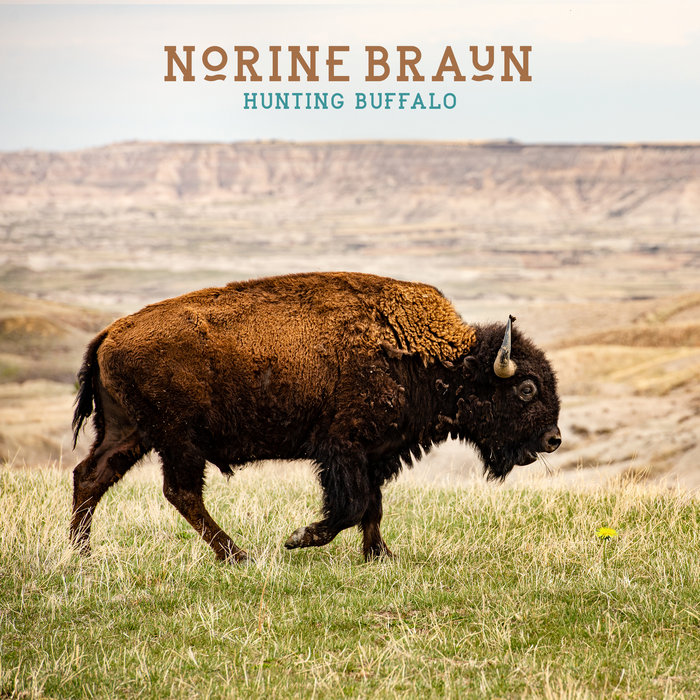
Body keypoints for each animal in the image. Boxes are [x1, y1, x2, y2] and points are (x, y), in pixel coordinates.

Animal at [71, 272, 561, 563]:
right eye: (527, 388)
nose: (553, 439)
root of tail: (110, 333)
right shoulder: (343, 448)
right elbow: (352, 505)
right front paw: (300, 537)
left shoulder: (375, 453)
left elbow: (373, 505)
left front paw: (380, 555)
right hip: (177, 438)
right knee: (181, 491)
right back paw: (238, 555)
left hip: (128, 431)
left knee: (90, 476)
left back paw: (81, 553)